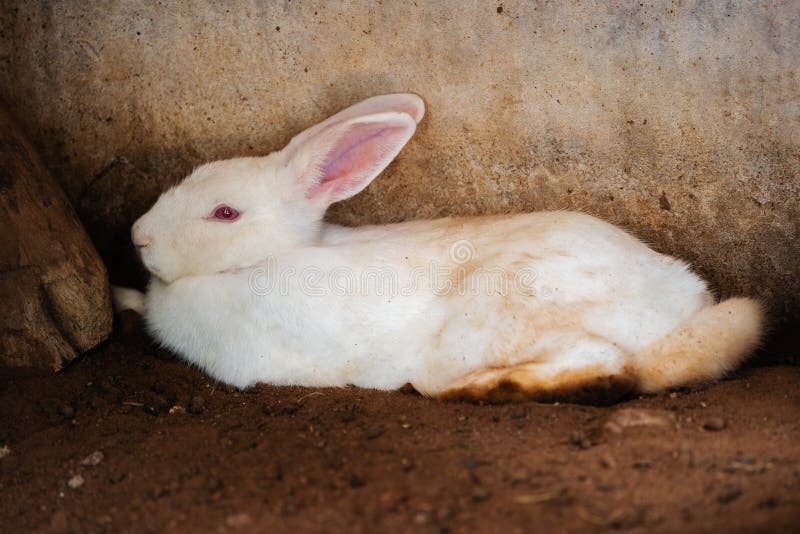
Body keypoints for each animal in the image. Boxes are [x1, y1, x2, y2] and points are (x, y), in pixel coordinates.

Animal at [114, 93, 764, 404]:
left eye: (225, 213)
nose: (138, 236)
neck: (260, 260)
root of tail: (685, 311)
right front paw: (123, 295)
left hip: (497, 320)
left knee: (607, 367)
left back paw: (471, 390)